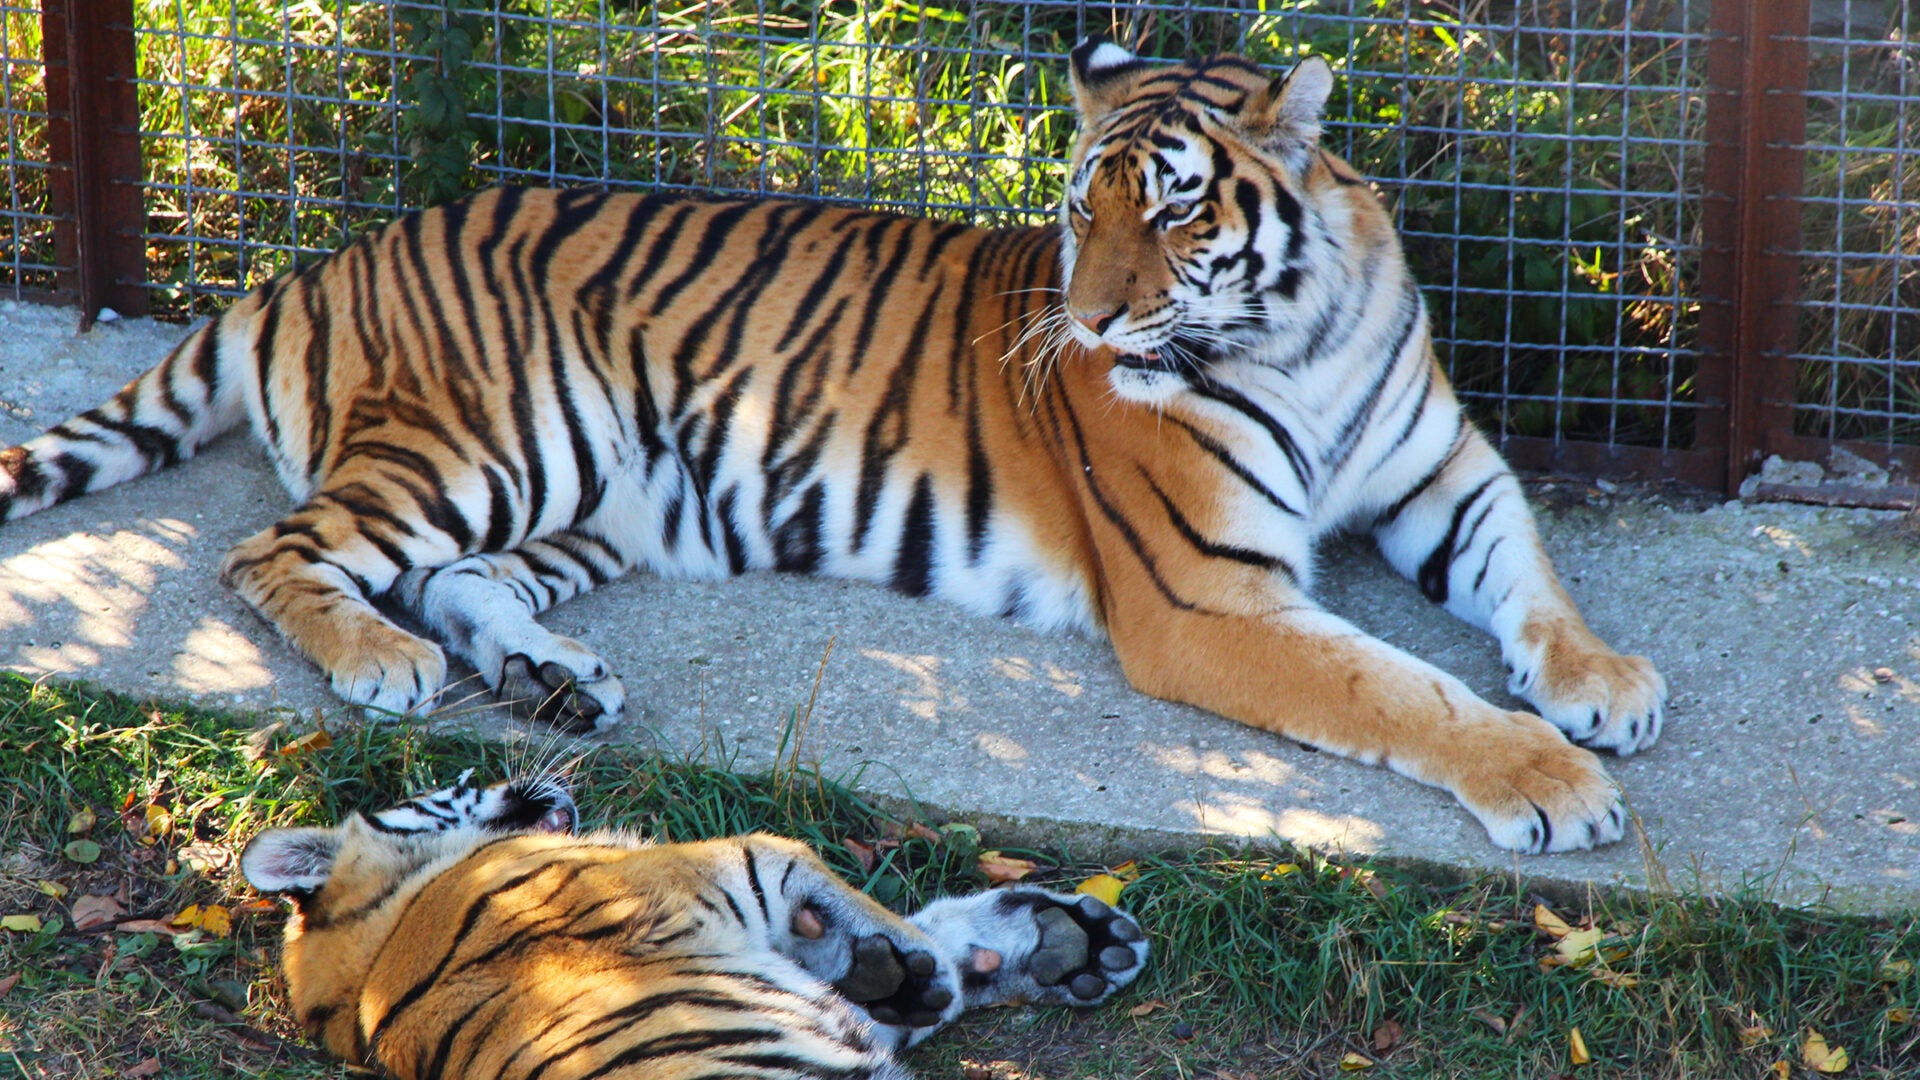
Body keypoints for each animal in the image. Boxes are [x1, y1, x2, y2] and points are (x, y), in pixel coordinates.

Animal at [0, 40, 1667, 853]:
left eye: (1180, 209)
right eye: (1084, 211)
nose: (1095, 325)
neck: (1298, 334)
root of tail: (325, 257)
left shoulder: (1445, 476)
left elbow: (1531, 575)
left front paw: (1603, 686)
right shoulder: (1210, 596)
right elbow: (1407, 690)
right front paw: (1551, 781)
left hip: (604, 491)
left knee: (461, 578)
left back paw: (552, 678)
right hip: (492, 439)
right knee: (277, 548)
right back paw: (380, 664)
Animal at [239, 771, 1150, 1079]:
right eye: (456, 784)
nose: (540, 780)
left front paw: (1067, 941)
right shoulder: (713, 867)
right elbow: (806, 862)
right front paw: (921, 965)